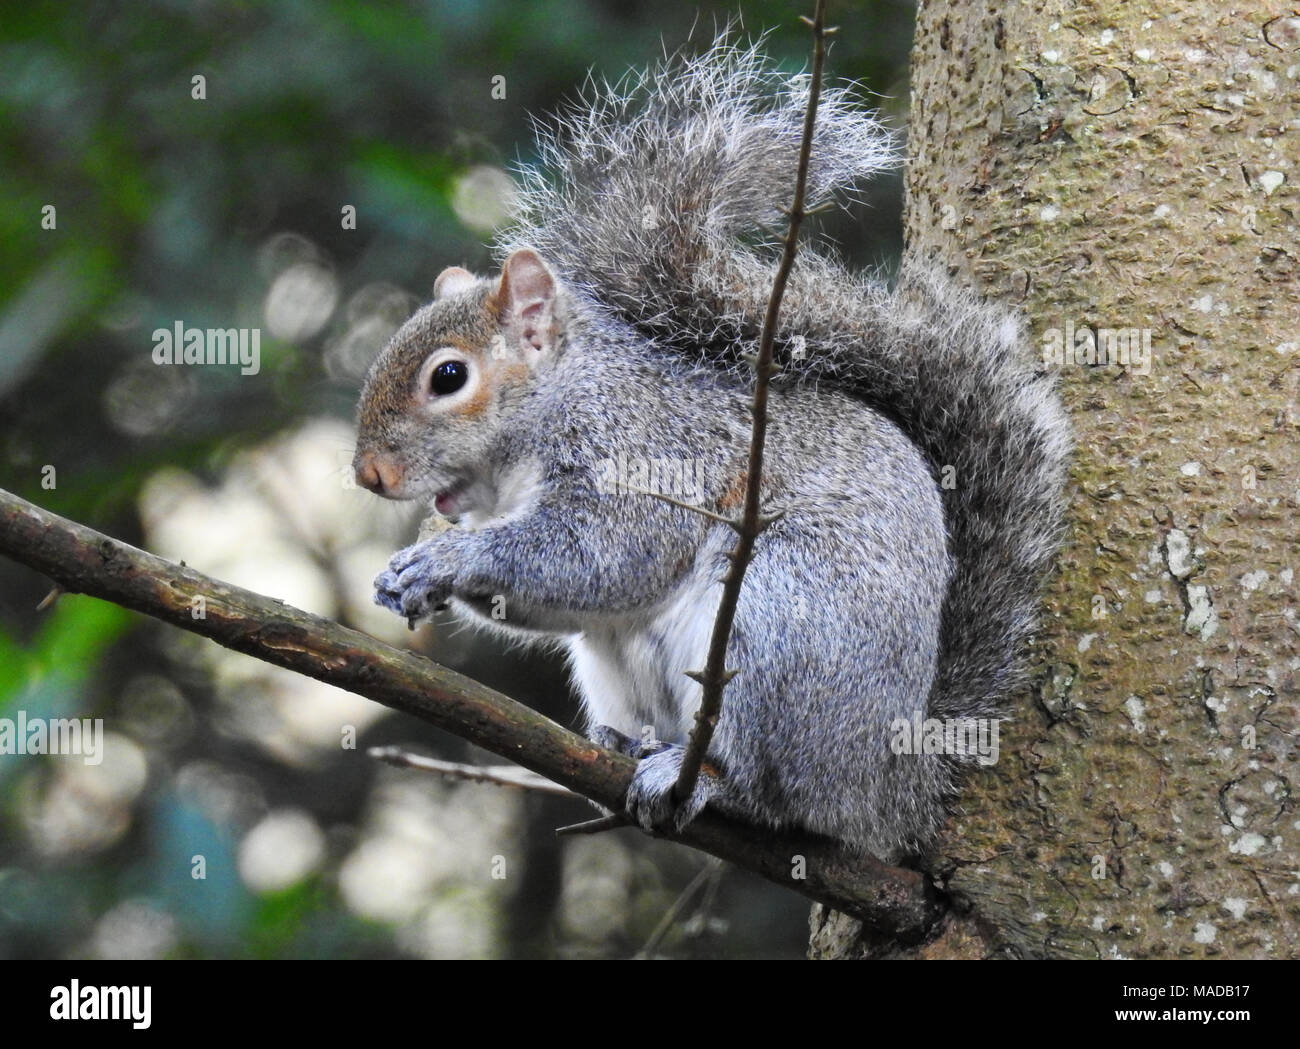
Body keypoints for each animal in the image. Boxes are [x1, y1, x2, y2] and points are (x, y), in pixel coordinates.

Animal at [352, 40, 1070, 861]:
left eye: (448, 376)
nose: (368, 474)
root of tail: (887, 794)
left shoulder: (641, 449)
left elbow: (607, 554)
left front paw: (445, 558)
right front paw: (404, 571)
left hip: (781, 622)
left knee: (777, 795)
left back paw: (705, 780)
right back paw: (625, 743)